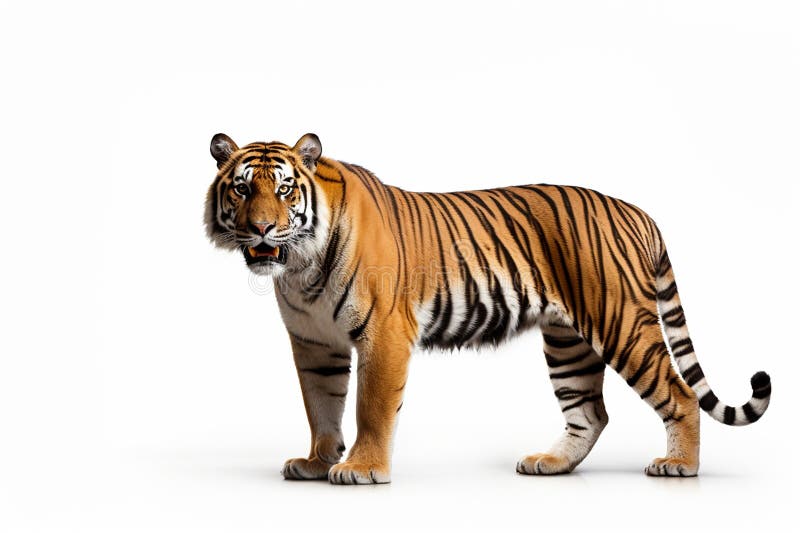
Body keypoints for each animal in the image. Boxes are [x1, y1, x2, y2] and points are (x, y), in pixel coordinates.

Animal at [205, 132, 771, 484]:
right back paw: (551, 463)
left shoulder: (384, 334)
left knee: (678, 391)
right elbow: (321, 407)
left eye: (284, 188)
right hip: (568, 340)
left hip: (621, 322)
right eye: (242, 188)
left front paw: (362, 468)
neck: (300, 267)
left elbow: (370, 407)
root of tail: (640, 212)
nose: (261, 229)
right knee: (590, 411)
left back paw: (679, 466)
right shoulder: (314, 344)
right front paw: (316, 463)